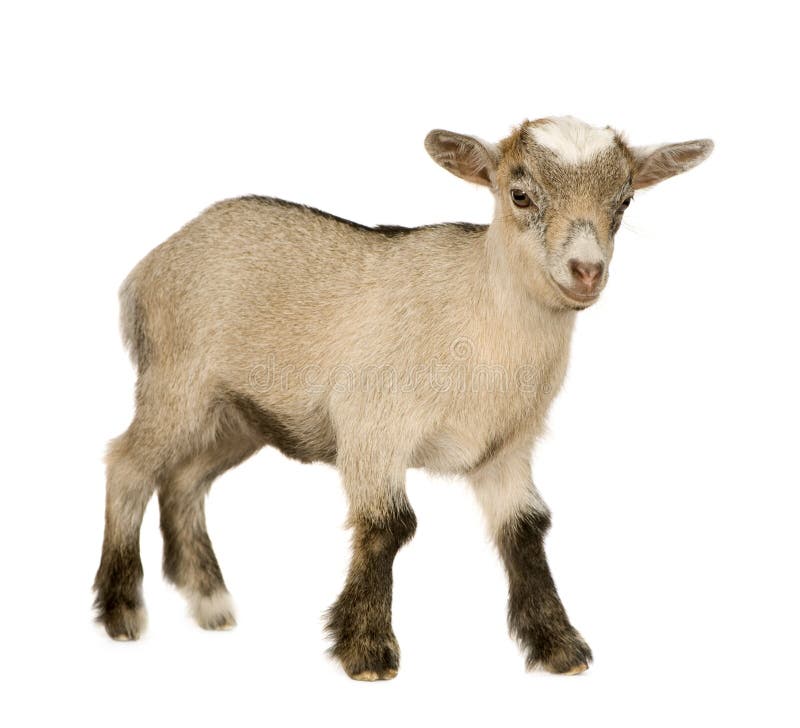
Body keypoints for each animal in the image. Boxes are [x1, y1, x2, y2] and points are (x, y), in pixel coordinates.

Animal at [94, 116, 713, 679]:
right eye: (520, 194)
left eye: (625, 201)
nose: (587, 271)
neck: (480, 313)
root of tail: (148, 267)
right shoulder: (372, 428)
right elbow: (390, 524)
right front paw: (367, 650)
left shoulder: (507, 448)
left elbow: (526, 527)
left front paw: (559, 646)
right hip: (176, 384)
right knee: (129, 465)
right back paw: (122, 611)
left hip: (239, 417)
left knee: (184, 480)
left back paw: (209, 601)